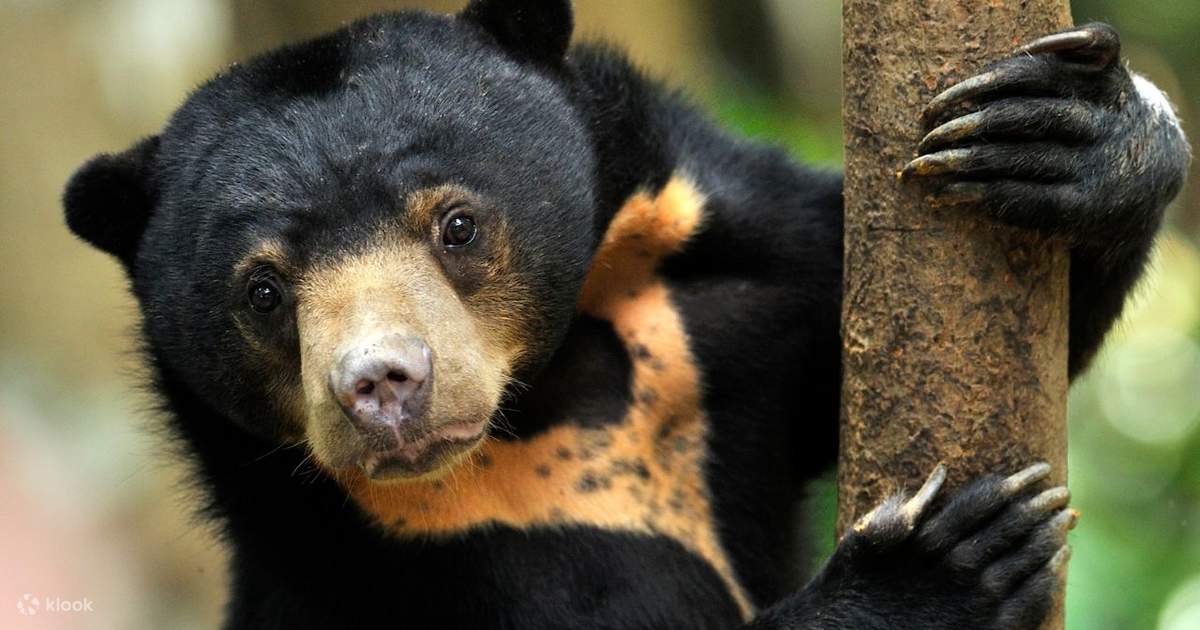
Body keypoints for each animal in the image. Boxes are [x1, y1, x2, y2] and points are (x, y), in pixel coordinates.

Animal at [62, 1, 1190, 628]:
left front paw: (1074, 135)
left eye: (457, 225)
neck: (553, 390)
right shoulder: (409, 562)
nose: (380, 385)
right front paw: (947, 561)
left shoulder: (729, 304)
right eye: (262, 291)